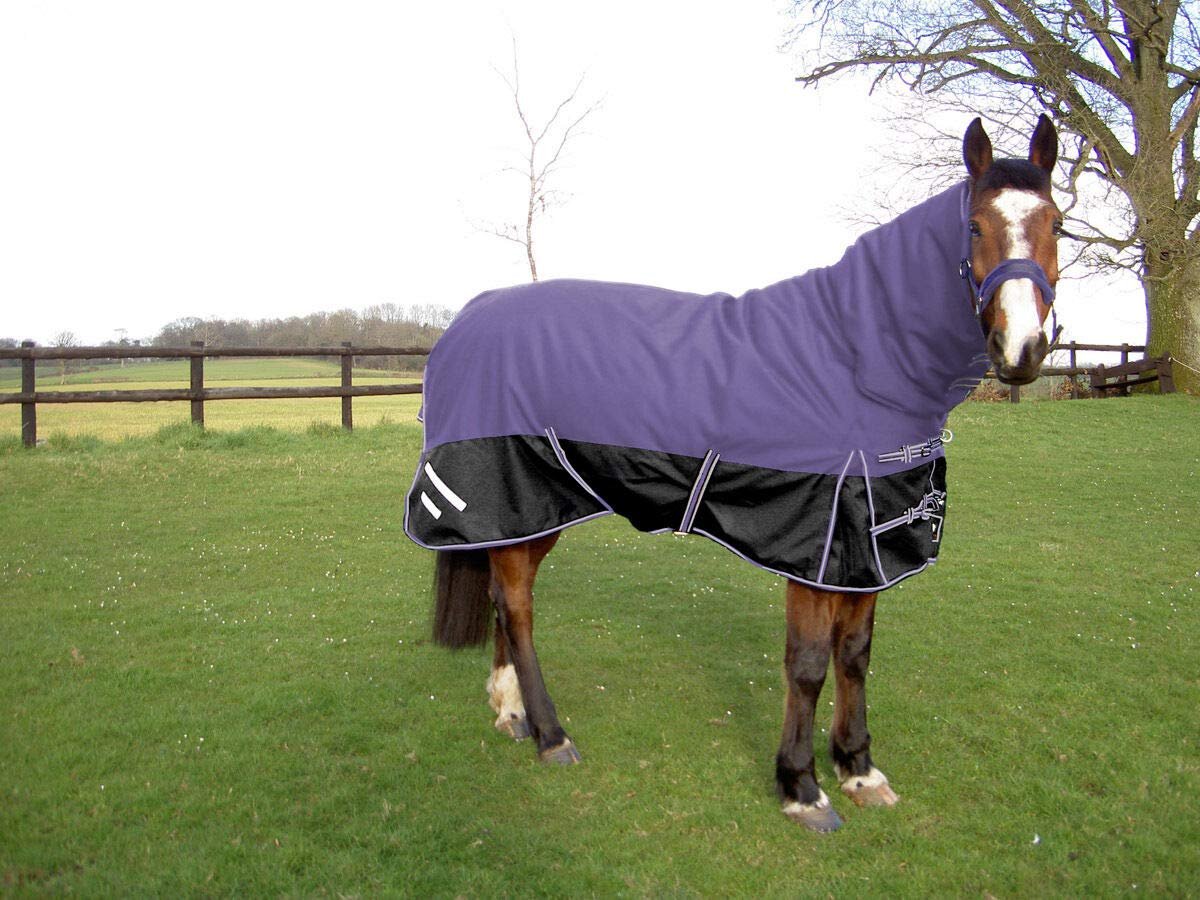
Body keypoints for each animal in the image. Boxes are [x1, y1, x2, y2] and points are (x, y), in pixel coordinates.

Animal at [405, 116, 1062, 832]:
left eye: (1058, 222)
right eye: (974, 226)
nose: (1023, 349)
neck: (855, 358)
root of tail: (469, 317)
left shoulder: (870, 550)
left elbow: (855, 654)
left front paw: (859, 770)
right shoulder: (819, 548)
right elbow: (808, 663)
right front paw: (802, 787)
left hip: (531, 509)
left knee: (506, 598)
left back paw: (511, 710)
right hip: (516, 498)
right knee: (517, 607)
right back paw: (552, 735)